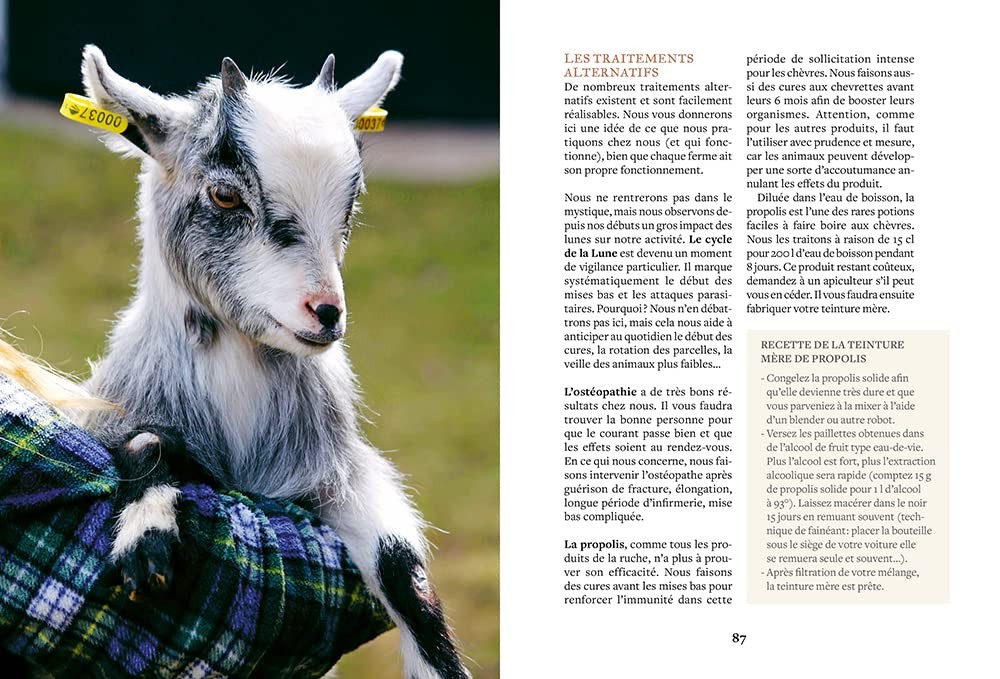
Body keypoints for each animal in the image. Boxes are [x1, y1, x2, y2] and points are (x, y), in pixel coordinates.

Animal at [72, 45, 469, 679]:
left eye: (352, 200)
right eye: (225, 196)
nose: (326, 313)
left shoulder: (329, 479)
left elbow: (400, 566)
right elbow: (144, 441)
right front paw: (146, 532)